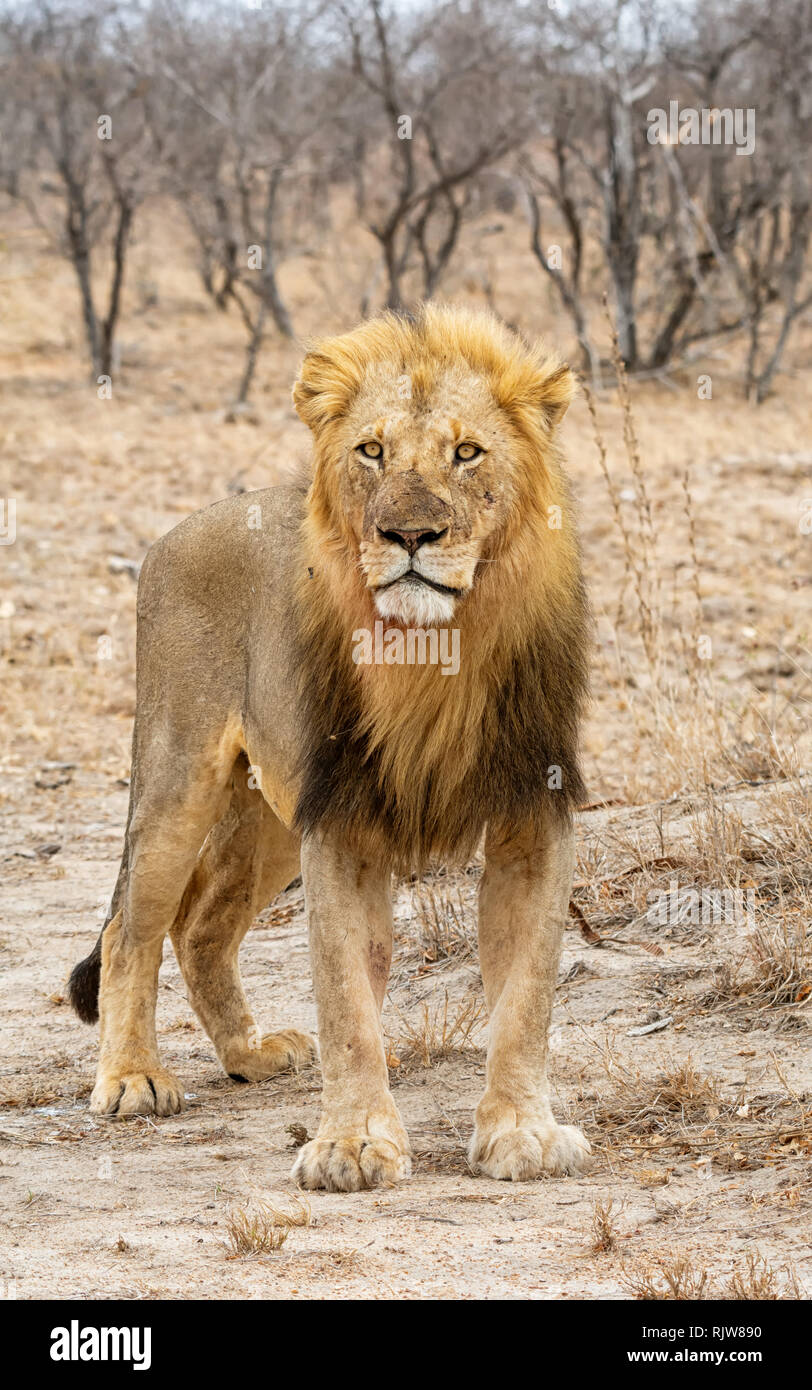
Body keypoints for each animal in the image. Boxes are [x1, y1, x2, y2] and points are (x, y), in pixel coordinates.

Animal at [68, 303, 592, 1191]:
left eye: (467, 452)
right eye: (371, 450)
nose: (409, 533)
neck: (433, 656)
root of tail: (181, 528)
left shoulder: (532, 812)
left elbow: (527, 995)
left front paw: (521, 1129)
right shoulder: (342, 822)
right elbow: (347, 998)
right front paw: (352, 1144)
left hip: (271, 816)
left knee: (202, 927)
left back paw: (248, 1054)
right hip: (179, 776)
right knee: (131, 928)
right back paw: (133, 1077)